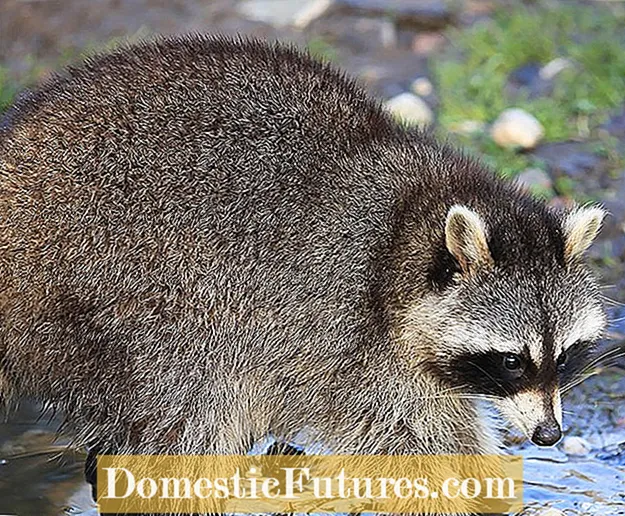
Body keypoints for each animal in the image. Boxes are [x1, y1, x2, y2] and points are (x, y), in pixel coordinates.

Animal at [0, 36, 604, 466]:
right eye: (511, 360)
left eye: (566, 355)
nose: (548, 435)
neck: (412, 221)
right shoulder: (346, 326)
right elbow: (408, 436)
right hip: (131, 288)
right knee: (191, 405)